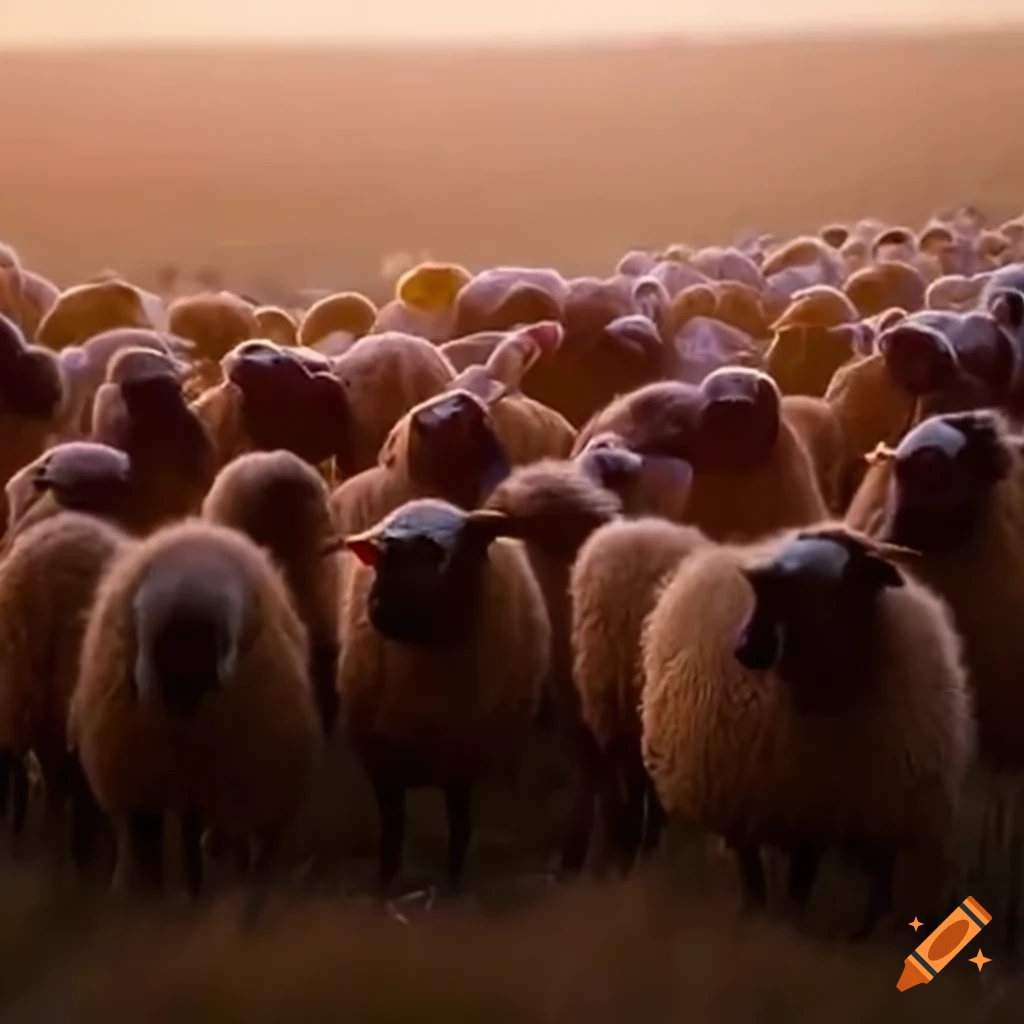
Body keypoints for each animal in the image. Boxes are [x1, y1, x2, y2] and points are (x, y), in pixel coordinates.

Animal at [333, 498, 550, 893]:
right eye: (382, 557)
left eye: (436, 554)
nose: (382, 607)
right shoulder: (382, 764)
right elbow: (391, 833)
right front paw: (383, 888)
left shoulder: (461, 762)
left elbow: (460, 829)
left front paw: (452, 886)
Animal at [640, 525, 972, 938]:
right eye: (760, 590)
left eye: (801, 591)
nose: (743, 647)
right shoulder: (774, 801)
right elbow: (774, 875)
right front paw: (770, 922)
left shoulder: (823, 811)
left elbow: (804, 877)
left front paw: (796, 922)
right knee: (749, 864)